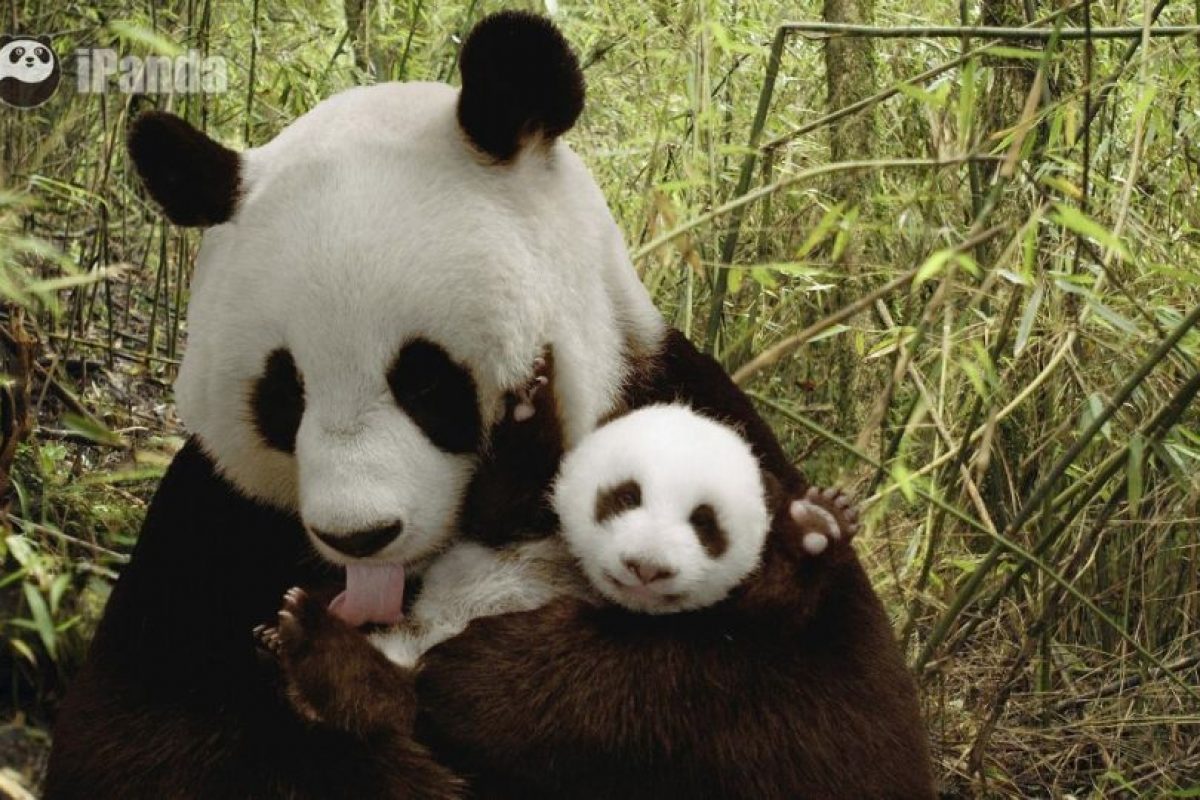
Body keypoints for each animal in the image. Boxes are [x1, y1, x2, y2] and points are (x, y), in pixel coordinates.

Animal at [45, 11, 929, 800]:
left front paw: (498, 678)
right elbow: (140, 738)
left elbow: (827, 717)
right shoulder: (211, 522)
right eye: (283, 393)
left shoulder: (683, 405)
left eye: (426, 382)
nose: (359, 537)